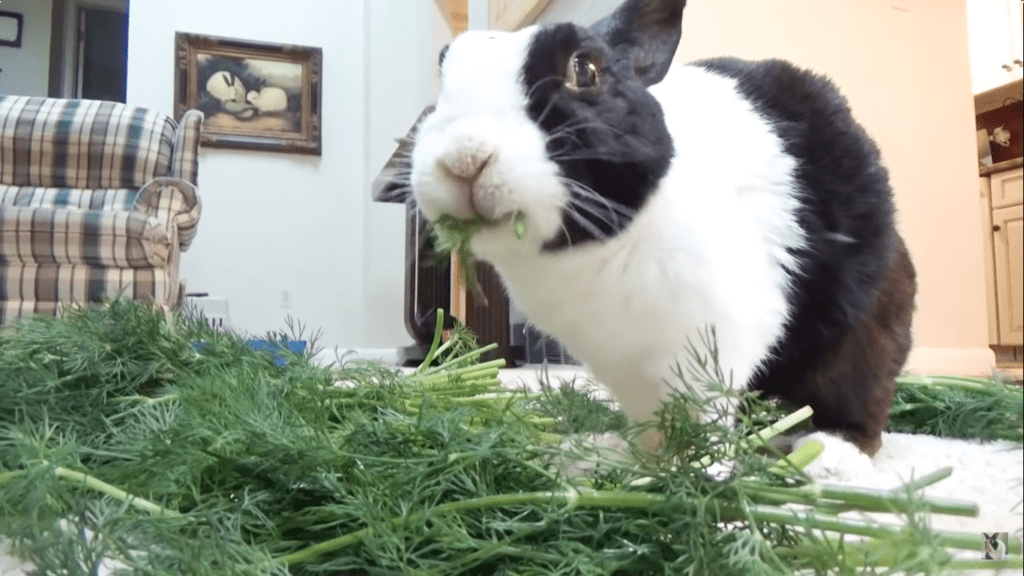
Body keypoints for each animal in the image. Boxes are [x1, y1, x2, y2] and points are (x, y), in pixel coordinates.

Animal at [409, 0, 916, 456]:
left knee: (857, 406)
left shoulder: (718, 342)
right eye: (444, 68)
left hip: (858, 340)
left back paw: (831, 458)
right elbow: (652, 421)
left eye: (584, 69)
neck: (589, 256)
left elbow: (704, 416)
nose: (464, 158)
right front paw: (643, 461)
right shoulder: (624, 368)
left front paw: (694, 470)